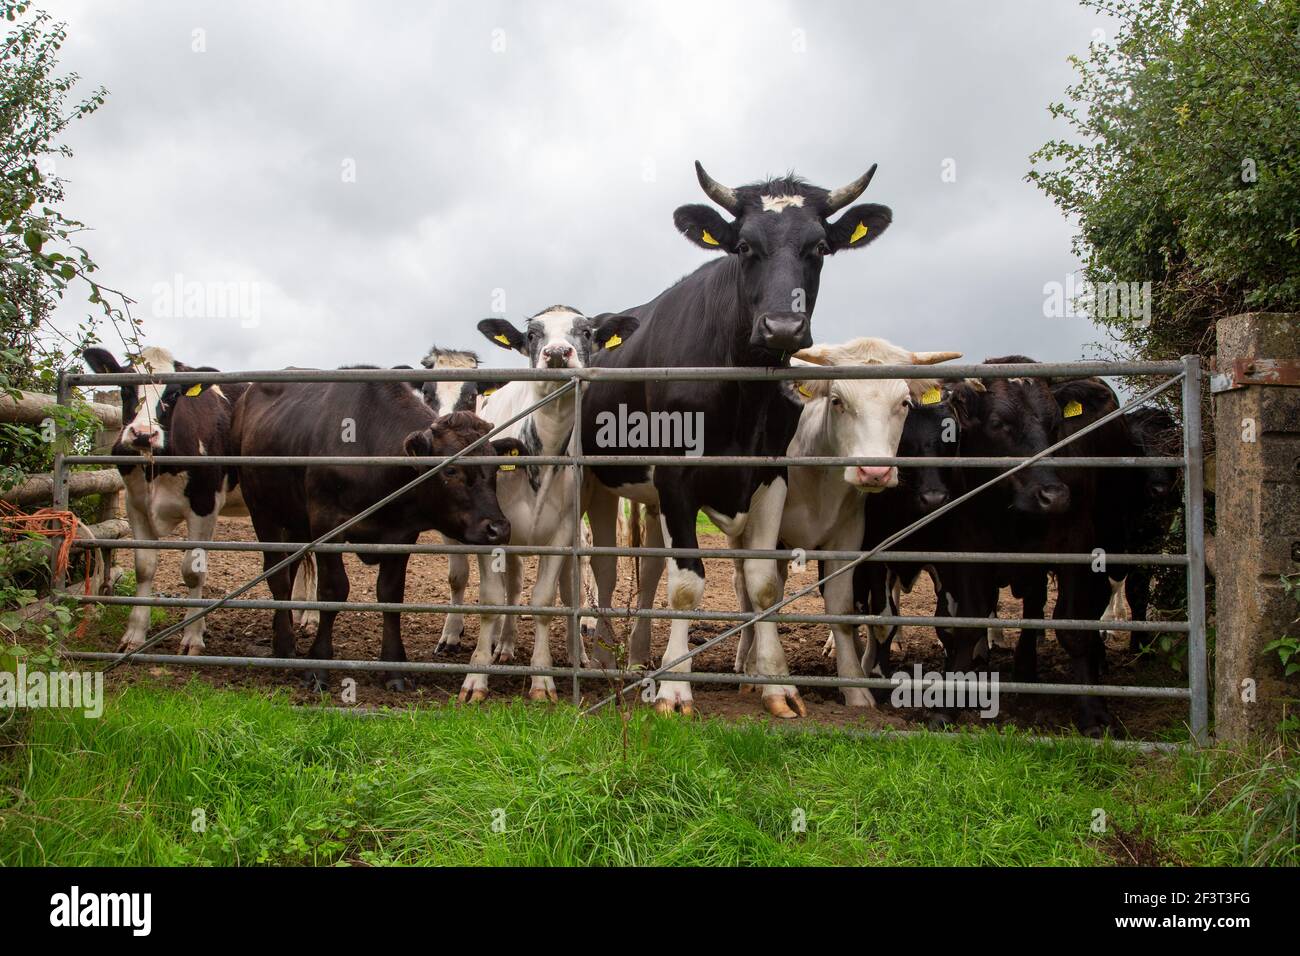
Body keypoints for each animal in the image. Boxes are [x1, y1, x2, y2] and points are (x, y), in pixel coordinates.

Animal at [81, 346, 250, 655]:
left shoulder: (204, 506)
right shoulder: (134, 505)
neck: (156, 469)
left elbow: (193, 571)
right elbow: (144, 567)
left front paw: (192, 636)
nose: (143, 434)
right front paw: (135, 633)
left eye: (173, 395)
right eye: (125, 388)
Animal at [230, 374, 521, 690]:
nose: (498, 528)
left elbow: (391, 594)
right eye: (450, 471)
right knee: (278, 576)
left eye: (495, 468)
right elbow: (333, 591)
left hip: (294, 520)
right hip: (262, 511)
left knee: (290, 567)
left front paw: (394, 667)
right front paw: (318, 665)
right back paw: (284, 645)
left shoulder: (401, 535)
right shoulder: (326, 525)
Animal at [450, 306, 639, 702]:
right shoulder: (490, 530)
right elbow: (493, 600)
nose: (556, 353)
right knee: (512, 586)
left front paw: (542, 677)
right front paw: (476, 676)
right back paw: (503, 646)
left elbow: (544, 601)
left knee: (566, 589)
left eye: (585, 332)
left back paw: (575, 654)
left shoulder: (562, 533)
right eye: (533, 334)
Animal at [581, 161, 893, 718]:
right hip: (594, 484)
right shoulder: (677, 479)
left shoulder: (769, 476)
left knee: (648, 571)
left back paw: (637, 658)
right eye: (745, 246)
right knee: (601, 565)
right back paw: (598, 656)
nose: (783, 326)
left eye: (819, 247)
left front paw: (775, 685)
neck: (742, 391)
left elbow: (763, 584)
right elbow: (687, 585)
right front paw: (676, 688)